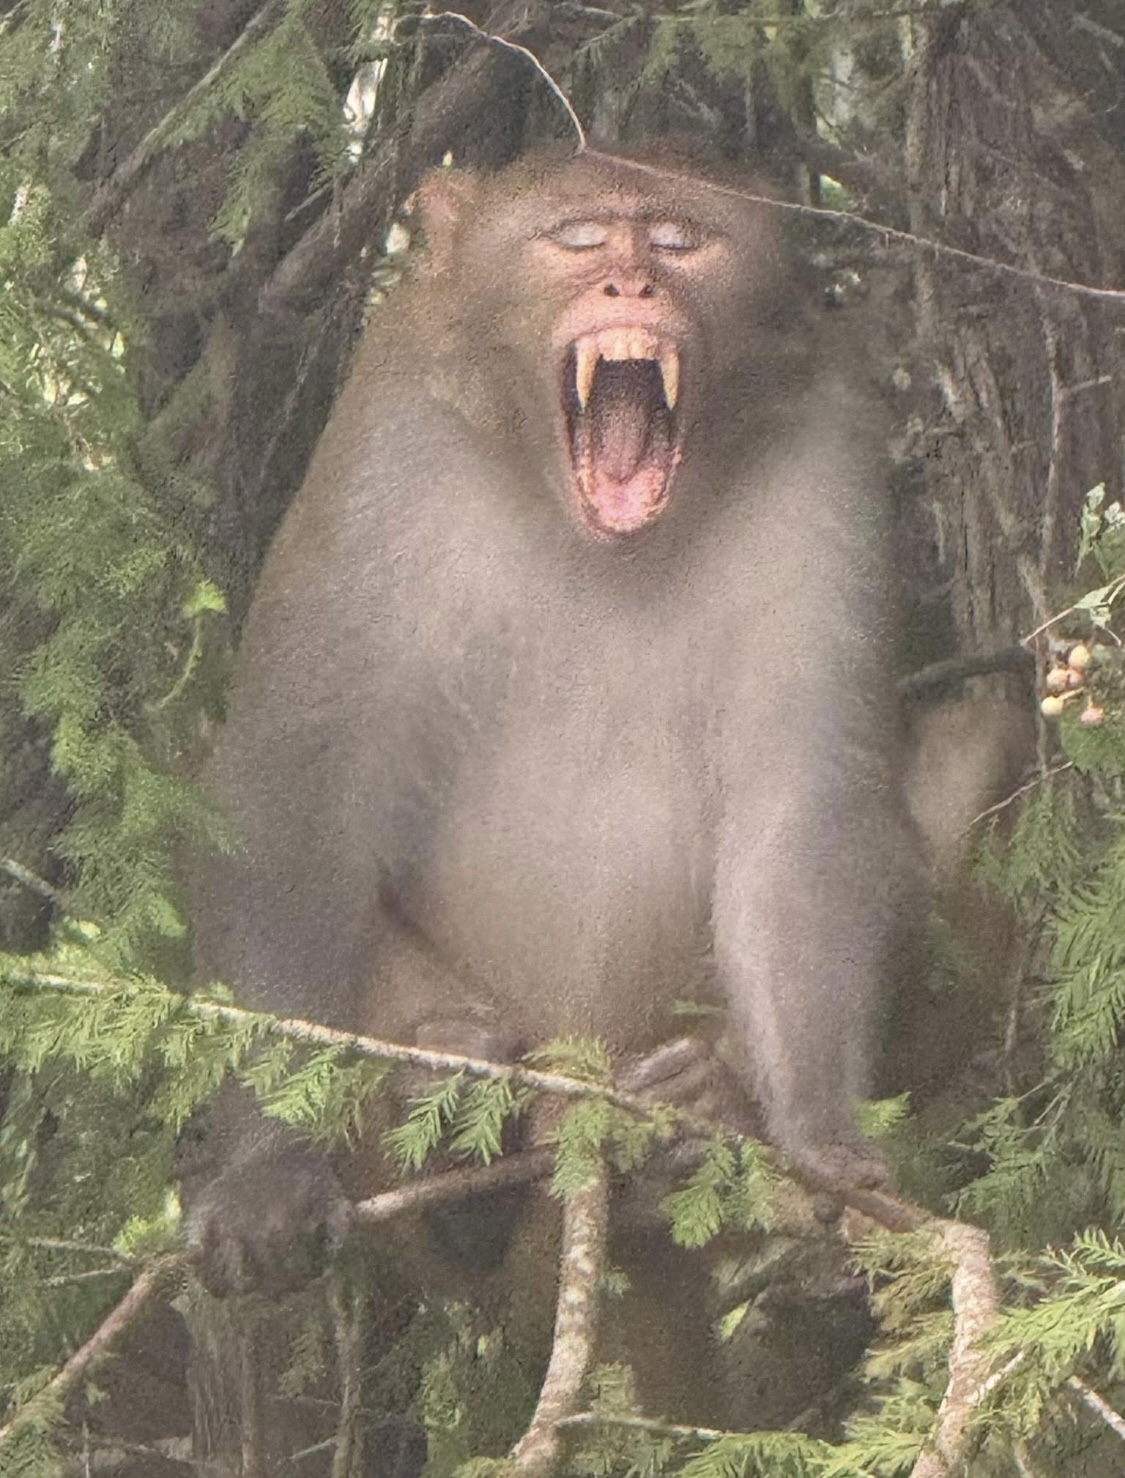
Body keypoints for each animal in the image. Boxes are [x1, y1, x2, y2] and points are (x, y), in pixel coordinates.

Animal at [184, 146, 925, 1297]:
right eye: (576, 238)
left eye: (676, 239)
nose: (632, 284)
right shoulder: (389, 432)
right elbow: (294, 772)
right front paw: (269, 1167)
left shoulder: (827, 441)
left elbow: (806, 795)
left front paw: (813, 1131)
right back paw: (452, 1134)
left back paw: (692, 1116)